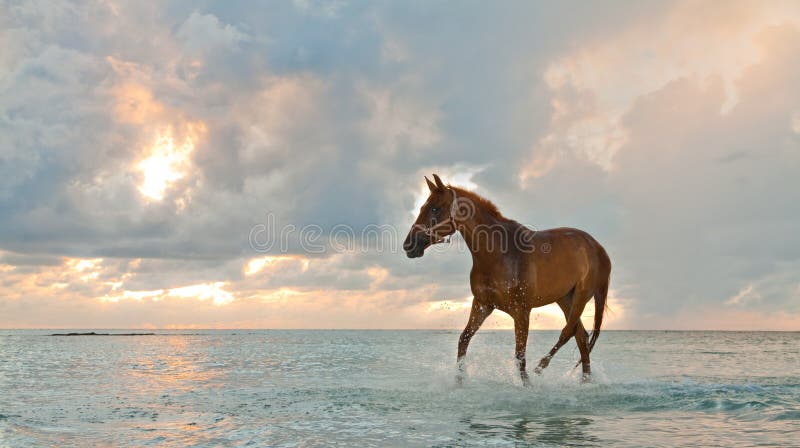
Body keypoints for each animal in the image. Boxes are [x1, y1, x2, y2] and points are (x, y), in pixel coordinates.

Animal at [404, 173, 608, 384]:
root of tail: (596, 246)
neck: (500, 254)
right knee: (581, 336)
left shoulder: (522, 312)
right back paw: (585, 381)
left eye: (435, 208)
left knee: (567, 333)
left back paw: (541, 368)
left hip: (581, 297)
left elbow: (520, 356)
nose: (408, 245)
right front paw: (459, 381)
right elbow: (463, 341)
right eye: (422, 208)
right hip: (565, 298)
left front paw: (528, 385)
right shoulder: (482, 305)